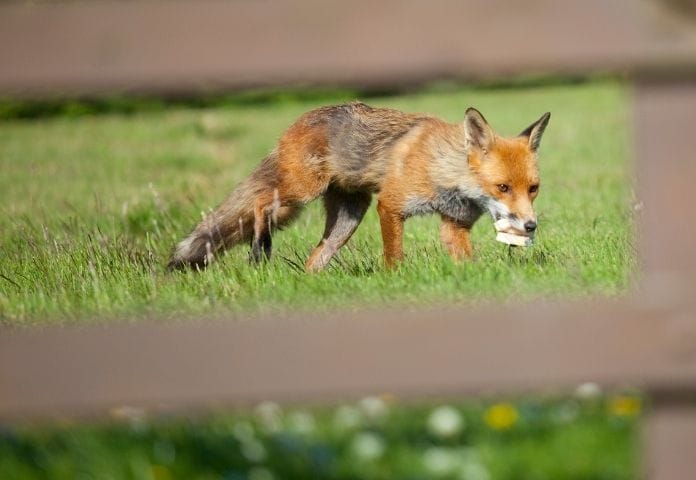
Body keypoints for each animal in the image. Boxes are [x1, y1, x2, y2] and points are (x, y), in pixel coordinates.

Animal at [168, 102, 550, 272]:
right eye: (502, 187)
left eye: (533, 188)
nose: (531, 225)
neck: (448, 174)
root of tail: (298, 120)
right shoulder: (390, 204)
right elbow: (394, 255)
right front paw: (396, 280)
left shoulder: (453, 225)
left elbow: (466, 261)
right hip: (300, 193)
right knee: (262, 201)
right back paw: (260, 250)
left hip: (348, 219)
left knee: (314, 258)